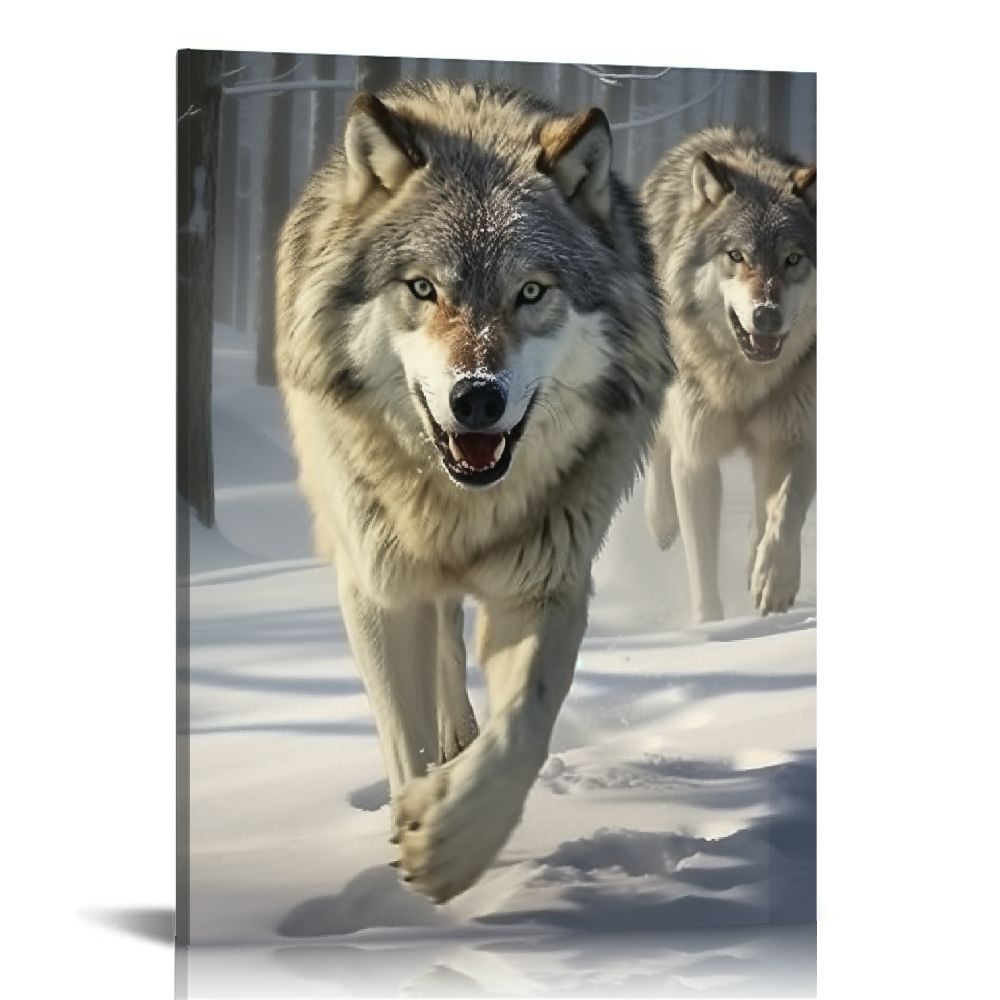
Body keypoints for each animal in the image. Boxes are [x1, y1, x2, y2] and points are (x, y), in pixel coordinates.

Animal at [275, 79, 673, 902]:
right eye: (424, 288)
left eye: (531, 291)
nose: (477, 398)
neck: (460, 506)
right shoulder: (377, 585)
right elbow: (403, 732)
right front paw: (415, 812)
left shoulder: (547, 583)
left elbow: (522, 727)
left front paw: (451, 843)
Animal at [641, 126, 816, 623]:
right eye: (736, 255)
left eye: (793, 259)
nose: (766, 316)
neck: (744, 381)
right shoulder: (697, 458)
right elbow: (702, 566)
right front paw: (708, 628)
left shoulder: (799, 435)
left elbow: (786, 512)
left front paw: (774, 582)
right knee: (658, 446)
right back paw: (661, 522)